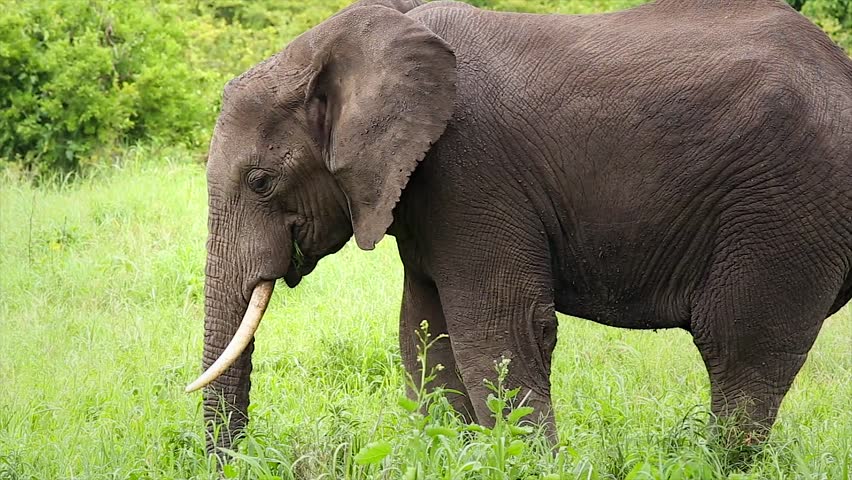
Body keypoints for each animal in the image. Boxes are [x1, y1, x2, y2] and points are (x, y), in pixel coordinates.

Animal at [186, 0, 852, 453]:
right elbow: (423, 333)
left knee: (741, 347)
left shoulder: (472, 168)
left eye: (261, 183)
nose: (234, 459)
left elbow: (499, 331)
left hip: (784, 202)